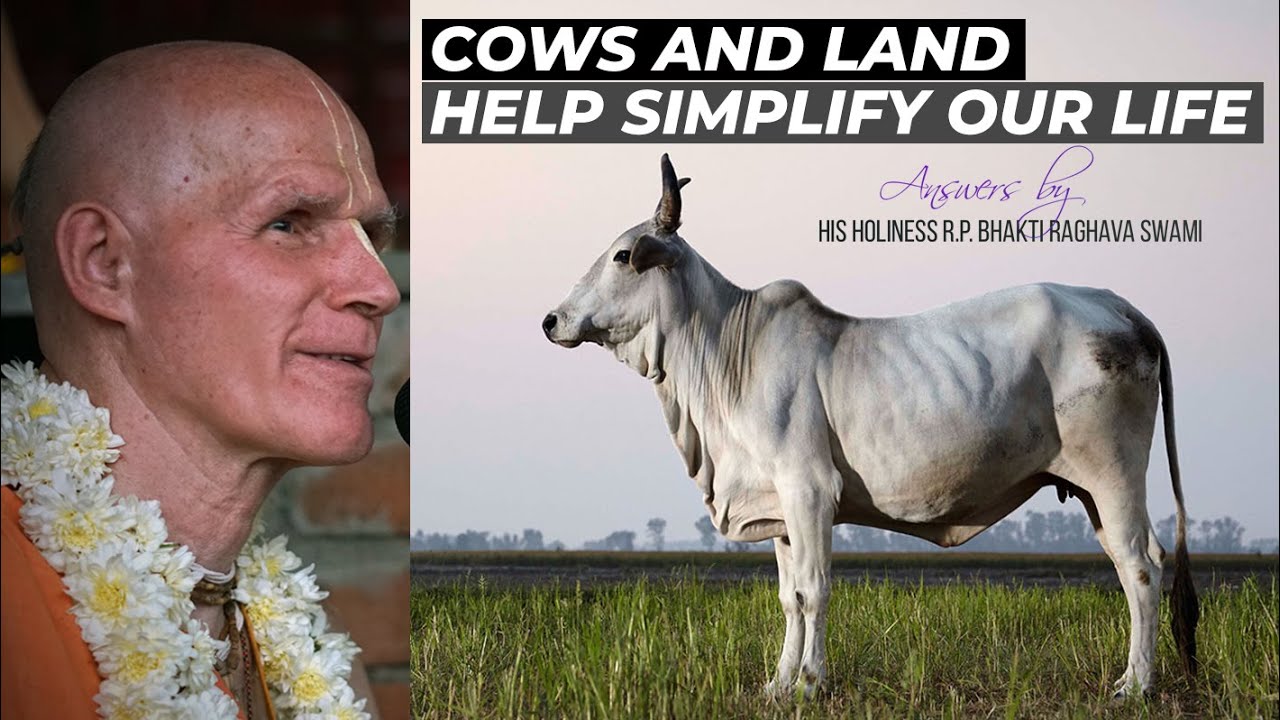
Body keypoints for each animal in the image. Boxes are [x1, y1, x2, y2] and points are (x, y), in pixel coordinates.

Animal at [541, 154, 1199, 700]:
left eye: (623, 255)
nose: (552, 320)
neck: (728, 355)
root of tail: (1120, 307)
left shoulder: (809, 491)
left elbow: (813, 590)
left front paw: (809, 685)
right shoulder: (778, 506)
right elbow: (787, 598)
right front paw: (777, 685)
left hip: (1114, 475)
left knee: (1143, 566)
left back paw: (1134, 686)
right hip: (1089, 491)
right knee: (1127, 564)